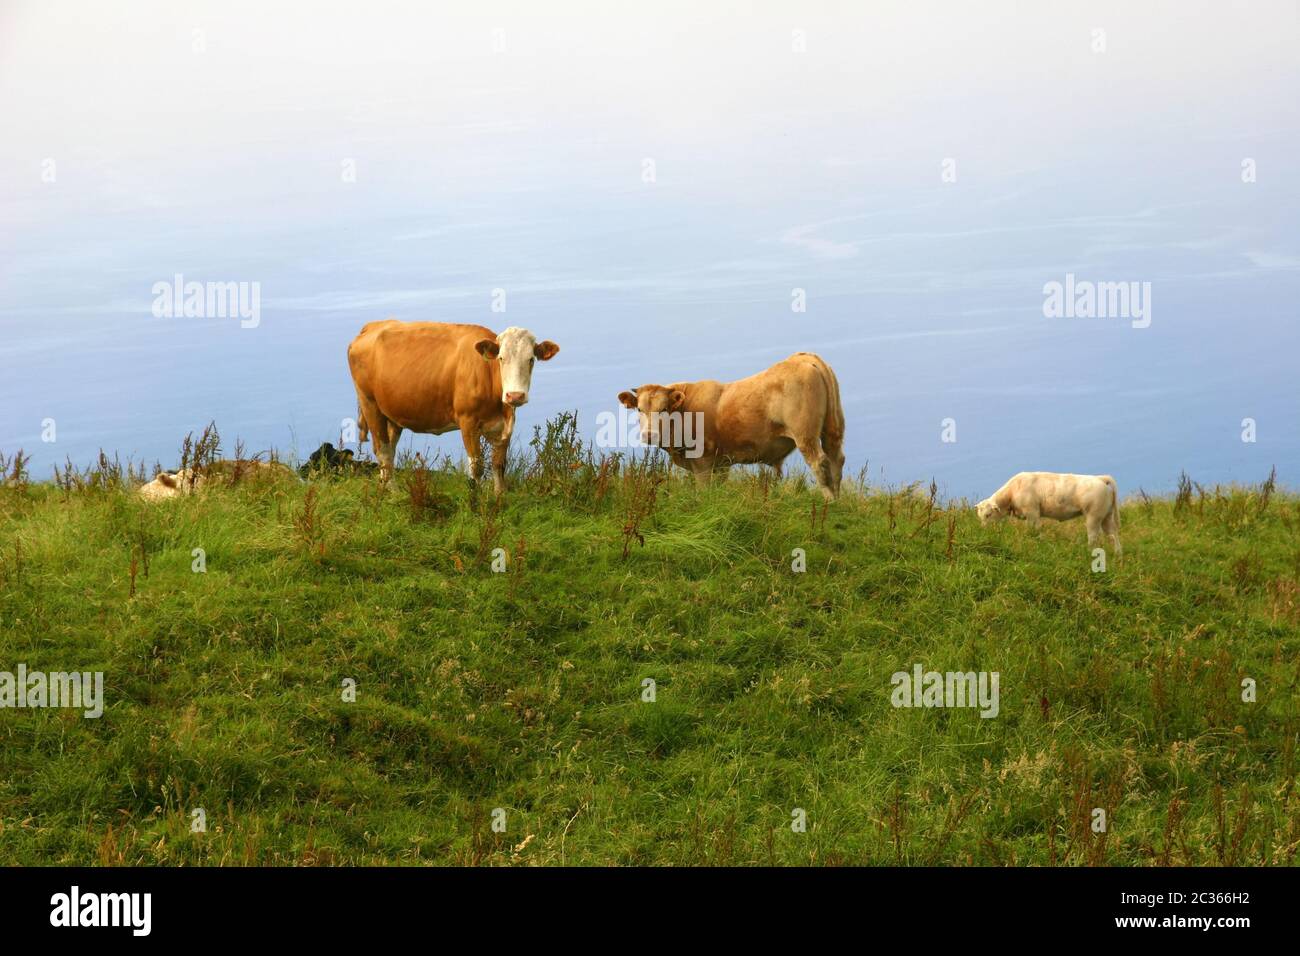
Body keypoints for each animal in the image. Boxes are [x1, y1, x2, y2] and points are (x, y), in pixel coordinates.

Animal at [347, 321, 559, 492]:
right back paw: (393, 492)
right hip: (369, 403)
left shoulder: (505, 427)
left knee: (389, 450)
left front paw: (499, 498)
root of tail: (373, 326)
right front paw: (476, 502)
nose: (515, 395)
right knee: (382, 449)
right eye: (501, 358)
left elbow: (499, 465)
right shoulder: (468, 422)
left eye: (531, 359)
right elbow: (477, 467)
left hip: (391, 412)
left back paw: (384, 487)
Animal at [616, 352, 845, 500]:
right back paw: (837, 501)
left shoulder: (703, 461)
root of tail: (804, 358)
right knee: (836, 459)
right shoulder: (722, 463)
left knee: (820, 463)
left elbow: (704, 492)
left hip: (805, 434)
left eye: (664, 409)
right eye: (639, 409)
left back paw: (828, 502)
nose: (649, 435)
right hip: (832, 428)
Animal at [976, 471, 1121, 555]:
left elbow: (1034, 531)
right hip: (1106, 517)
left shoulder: (1032, 513)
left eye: (988, 515)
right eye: (980, 517)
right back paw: (1117, 557)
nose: (984, 531)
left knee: (1093, 538)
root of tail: (1100, 479)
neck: (1013, 491)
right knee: (1113, 537)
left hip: (1093, 517)